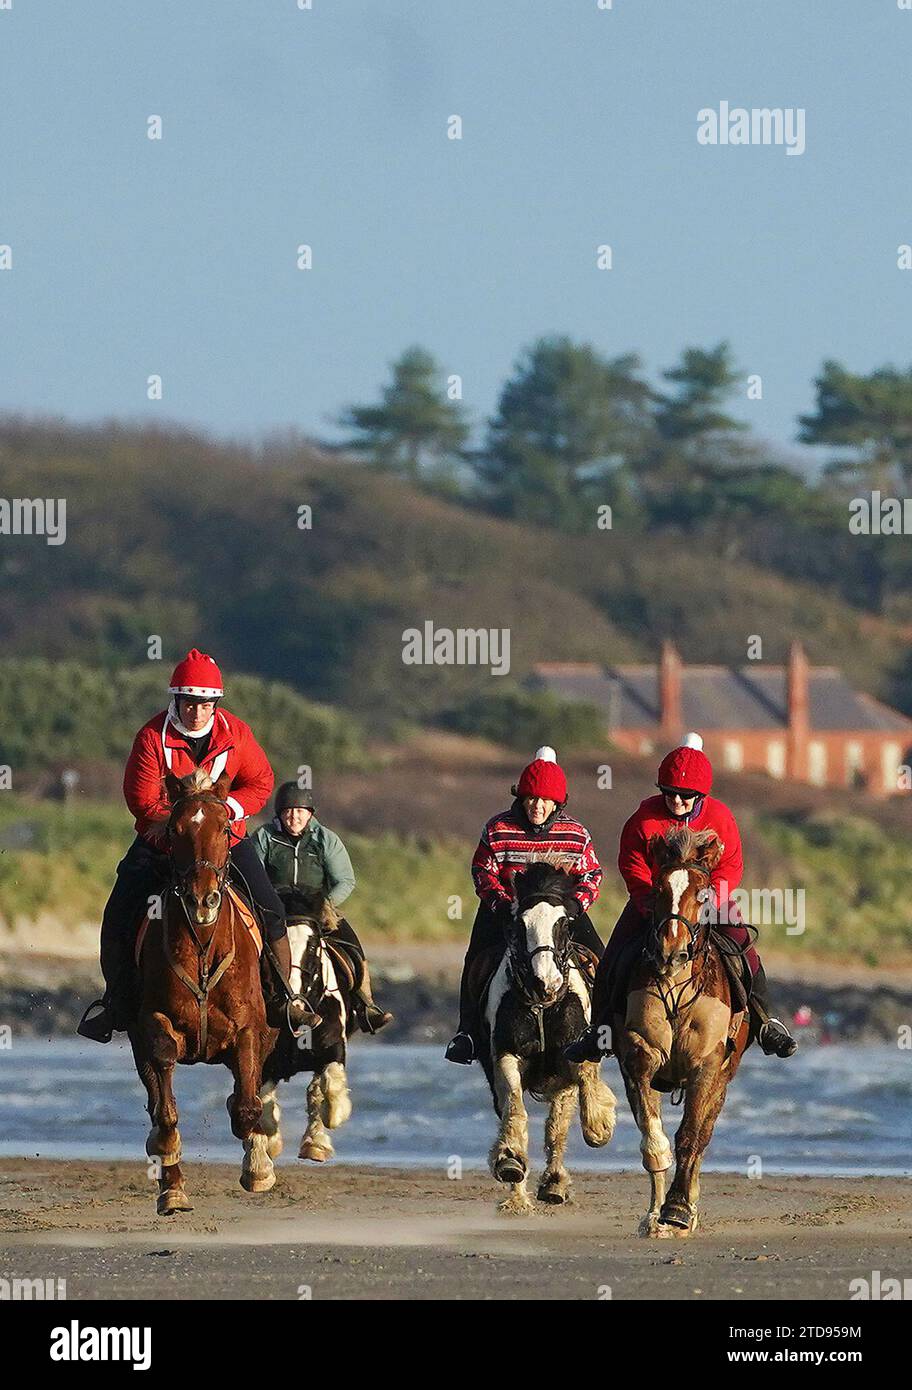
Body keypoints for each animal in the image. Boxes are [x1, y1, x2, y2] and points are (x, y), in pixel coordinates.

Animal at [129, 769, 279, 1214]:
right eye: (174, 831)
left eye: (225, 827)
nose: (202, 899)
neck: (201, 944)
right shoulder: (151, 1022)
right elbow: (165, 1105)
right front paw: (171, 1179)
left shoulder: (249, 1028)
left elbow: (247, 1107)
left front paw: (257, 1167)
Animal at [258, 889, 356, 1164]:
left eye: (312, 945)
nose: (293, 1000)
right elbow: (263, 1105)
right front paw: (269, 1145)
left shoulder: (333, 1046)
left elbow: (328, 1087)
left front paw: (333, 1117)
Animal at [473, 859, 617, 1214]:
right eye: (518, 926)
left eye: (564, 924)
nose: (546, 983)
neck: (541, 1006)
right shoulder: (505, 1055)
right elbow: (514, 1109)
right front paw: (510, 1162)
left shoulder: (572, 1057)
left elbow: (578, 1094)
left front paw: (599, 1125)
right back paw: (518, 1194)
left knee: (557, 1126)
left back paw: (554, 1184)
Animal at [613, 826, 751, 1238]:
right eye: (658, 888)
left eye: (702, 893)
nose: (670, 951)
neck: (677, 983)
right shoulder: (638, 1054)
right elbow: (653, 1139)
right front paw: (655, 1215)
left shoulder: (707, 1065)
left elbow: (690, 1138)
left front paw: (676, 1209)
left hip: (723, 1078)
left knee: (703, 1136)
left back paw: (688, 1209)